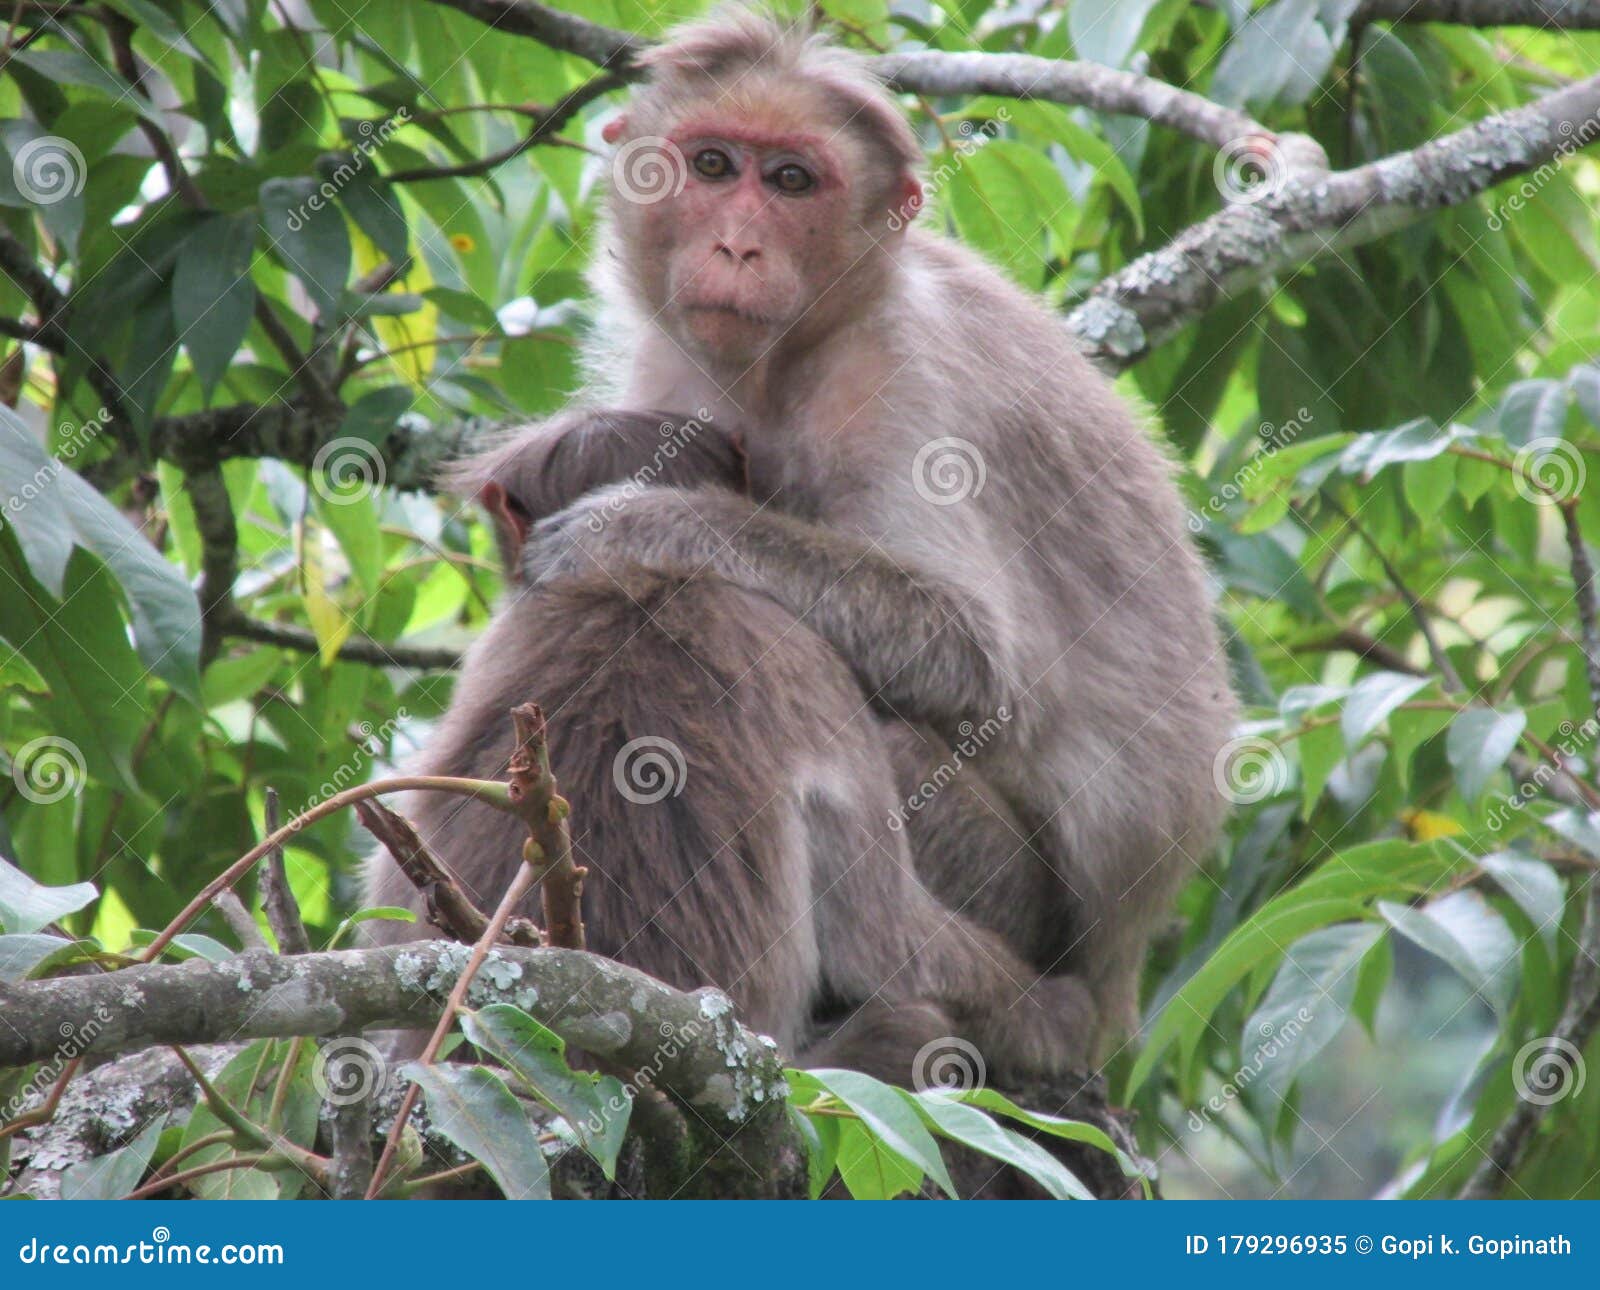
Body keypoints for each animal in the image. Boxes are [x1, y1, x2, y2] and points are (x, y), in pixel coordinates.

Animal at [520, 8, 1239, 1066]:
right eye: (713, 164)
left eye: (792, 182)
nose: (736, 246)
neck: (801, 350)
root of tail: (1121, 975)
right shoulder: (675, 361)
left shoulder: (902, 374)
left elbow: (970, 654)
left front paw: (634, 527)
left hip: (1021, 892)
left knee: (897, 740)